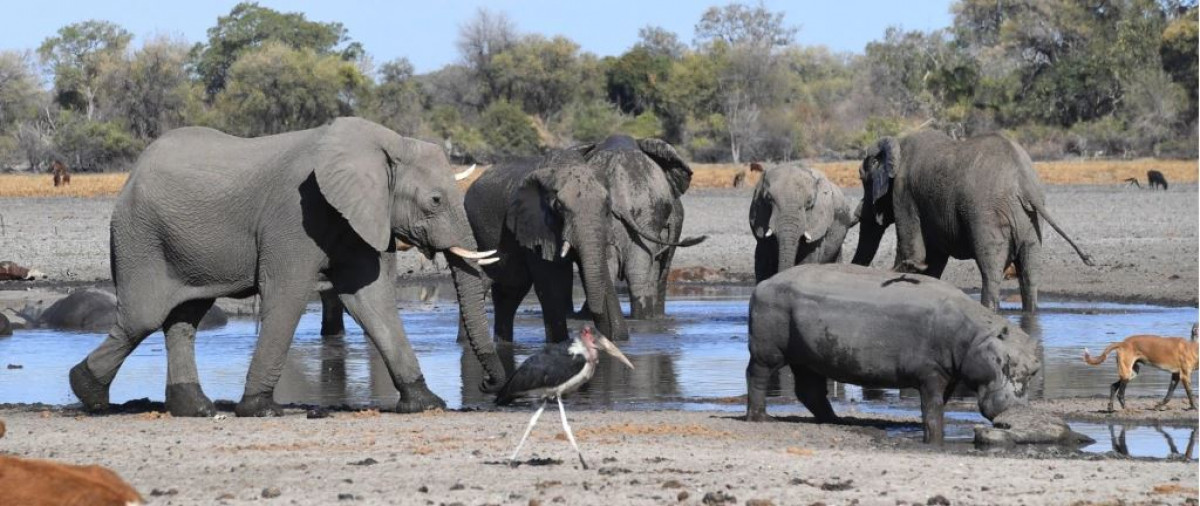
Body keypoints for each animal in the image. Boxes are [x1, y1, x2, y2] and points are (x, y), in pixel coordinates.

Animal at [68, 117, 506, 417]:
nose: (489, 383)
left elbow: (371, 300)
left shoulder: (360, 217)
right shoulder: (294, 214)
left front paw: (425, 402)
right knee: (141, 318)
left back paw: (195, 409)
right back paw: (88, 393)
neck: (384, 142)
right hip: (140, 236)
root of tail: (131, 175)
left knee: (183, 320)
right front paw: (260, 409)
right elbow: (288, 294)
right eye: (435, 201)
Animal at [465, 149, 627, 343]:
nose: (592, 329)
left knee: (509, 293)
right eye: (560, 207)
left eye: (607, 206)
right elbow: (551, 286)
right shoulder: (535, 226)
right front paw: (560, 343)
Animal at [746, 264, 1045, 445]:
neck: (975, 336)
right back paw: (760, 418)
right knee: (757, 376)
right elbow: (932, 408)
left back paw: (836, 421)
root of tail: (763, 283)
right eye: (1006, 363)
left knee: (810, 390)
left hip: (808, 357)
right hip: (768, 350)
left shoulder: (948, 374)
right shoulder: (930, 373)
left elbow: (939, 406)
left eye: (1034, 369)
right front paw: (934, 441)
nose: (1016, 410)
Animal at [852, 130, 1094, 312]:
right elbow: (934, 259)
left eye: (862, 179)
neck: (898, 143)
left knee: (991, 270)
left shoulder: (904, 194)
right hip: (1030, 221)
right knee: (1030, 273)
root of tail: (1024, 183)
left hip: (986, 214)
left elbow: (914, 254)